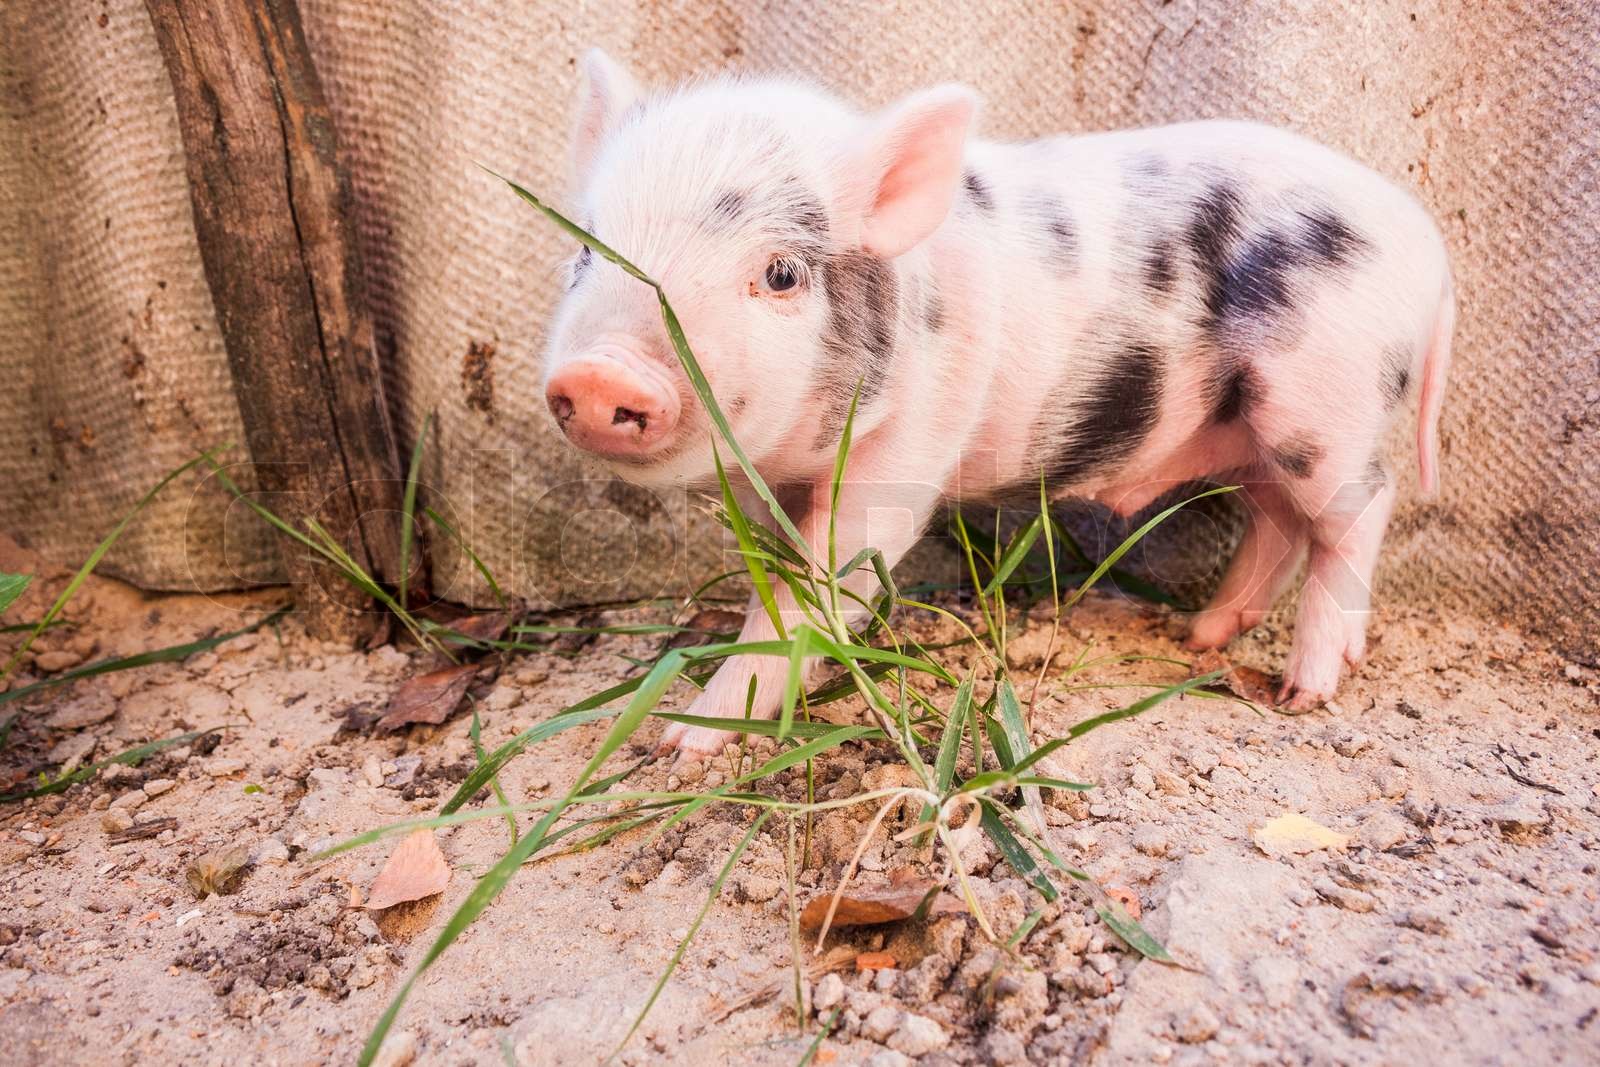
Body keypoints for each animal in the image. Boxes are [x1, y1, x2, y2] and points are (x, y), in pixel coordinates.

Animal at [539, 50, 1454, 755]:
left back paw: (1307, 689)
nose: (601, 376)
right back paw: (1202, 634)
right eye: (586, 251)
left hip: (1324, 396)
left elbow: (822, 584)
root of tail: (1426, 245)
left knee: (1362, 506)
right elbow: (781, 571)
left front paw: (683, 741)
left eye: (781, 273)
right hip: (1255, 427)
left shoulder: (910, 444)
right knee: (1278, 520)